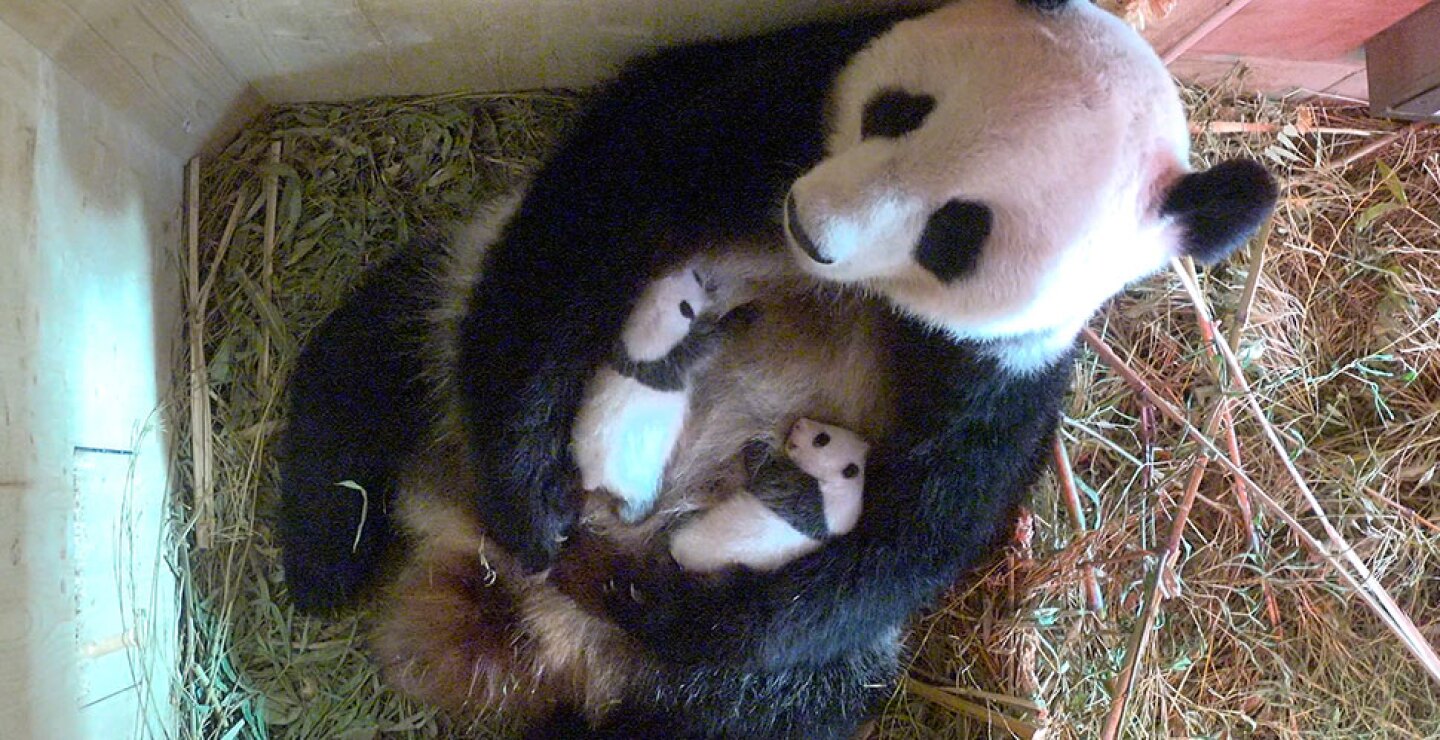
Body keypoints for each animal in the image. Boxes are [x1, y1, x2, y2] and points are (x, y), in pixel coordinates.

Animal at [276, 0, 1279, 737]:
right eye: (898, 112)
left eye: (955, 235)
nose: (812, 224)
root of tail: (516, 625)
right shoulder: (770, 97)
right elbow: (594, 203)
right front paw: (532, 500)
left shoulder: (1001, 374)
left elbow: (915, 535)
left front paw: (668, 599)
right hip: (447, 309)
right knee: (367, 364)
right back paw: (327, 559)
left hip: (770, 691)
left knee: (742, 715)